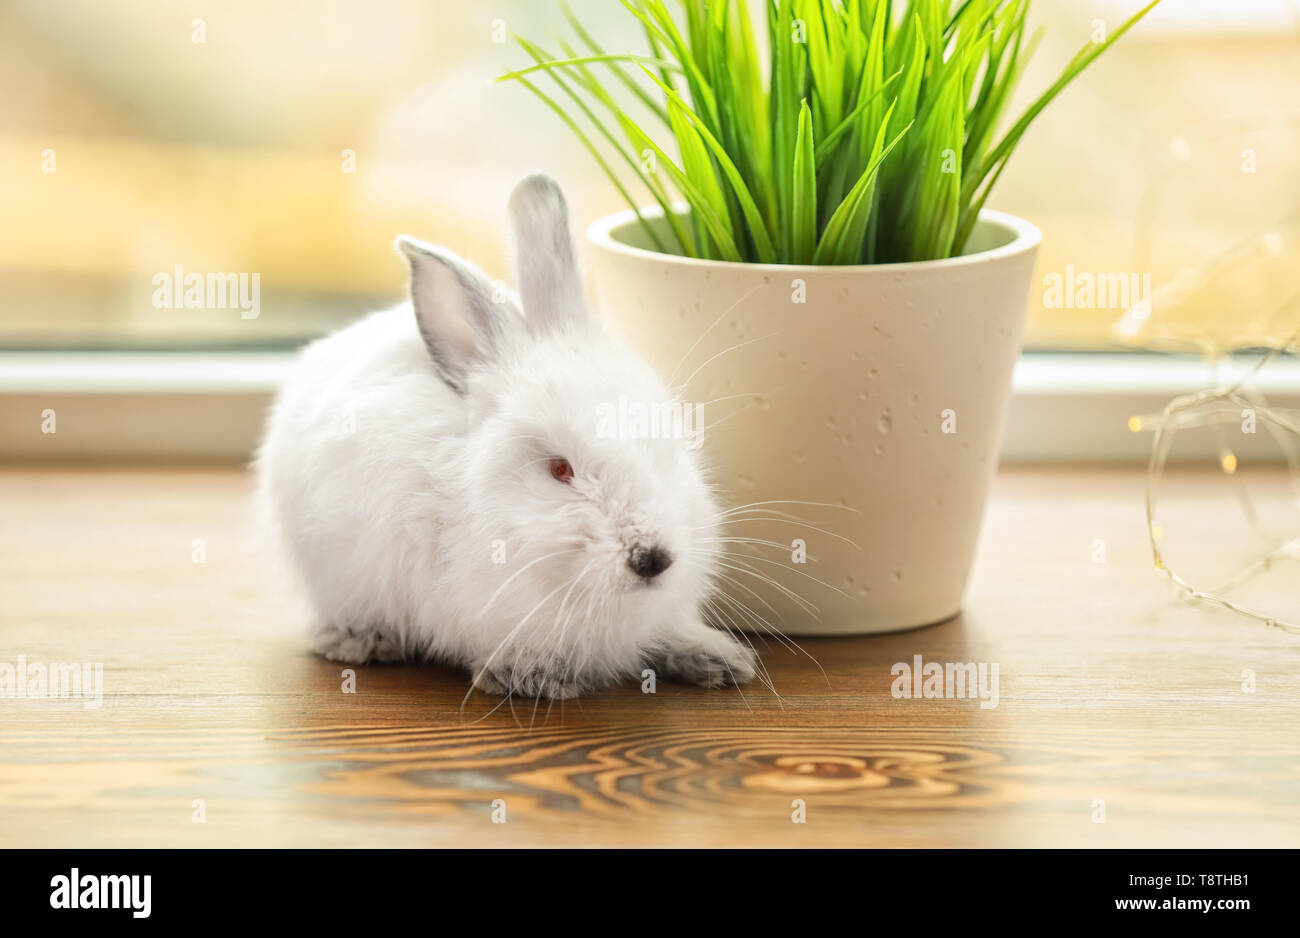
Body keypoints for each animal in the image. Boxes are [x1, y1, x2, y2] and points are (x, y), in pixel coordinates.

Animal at [257, 174, 759, 700]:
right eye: (560, 470)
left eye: (667, 451)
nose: (653, 559)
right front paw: (534, 676)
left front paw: (720, 659)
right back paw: (361, 642)